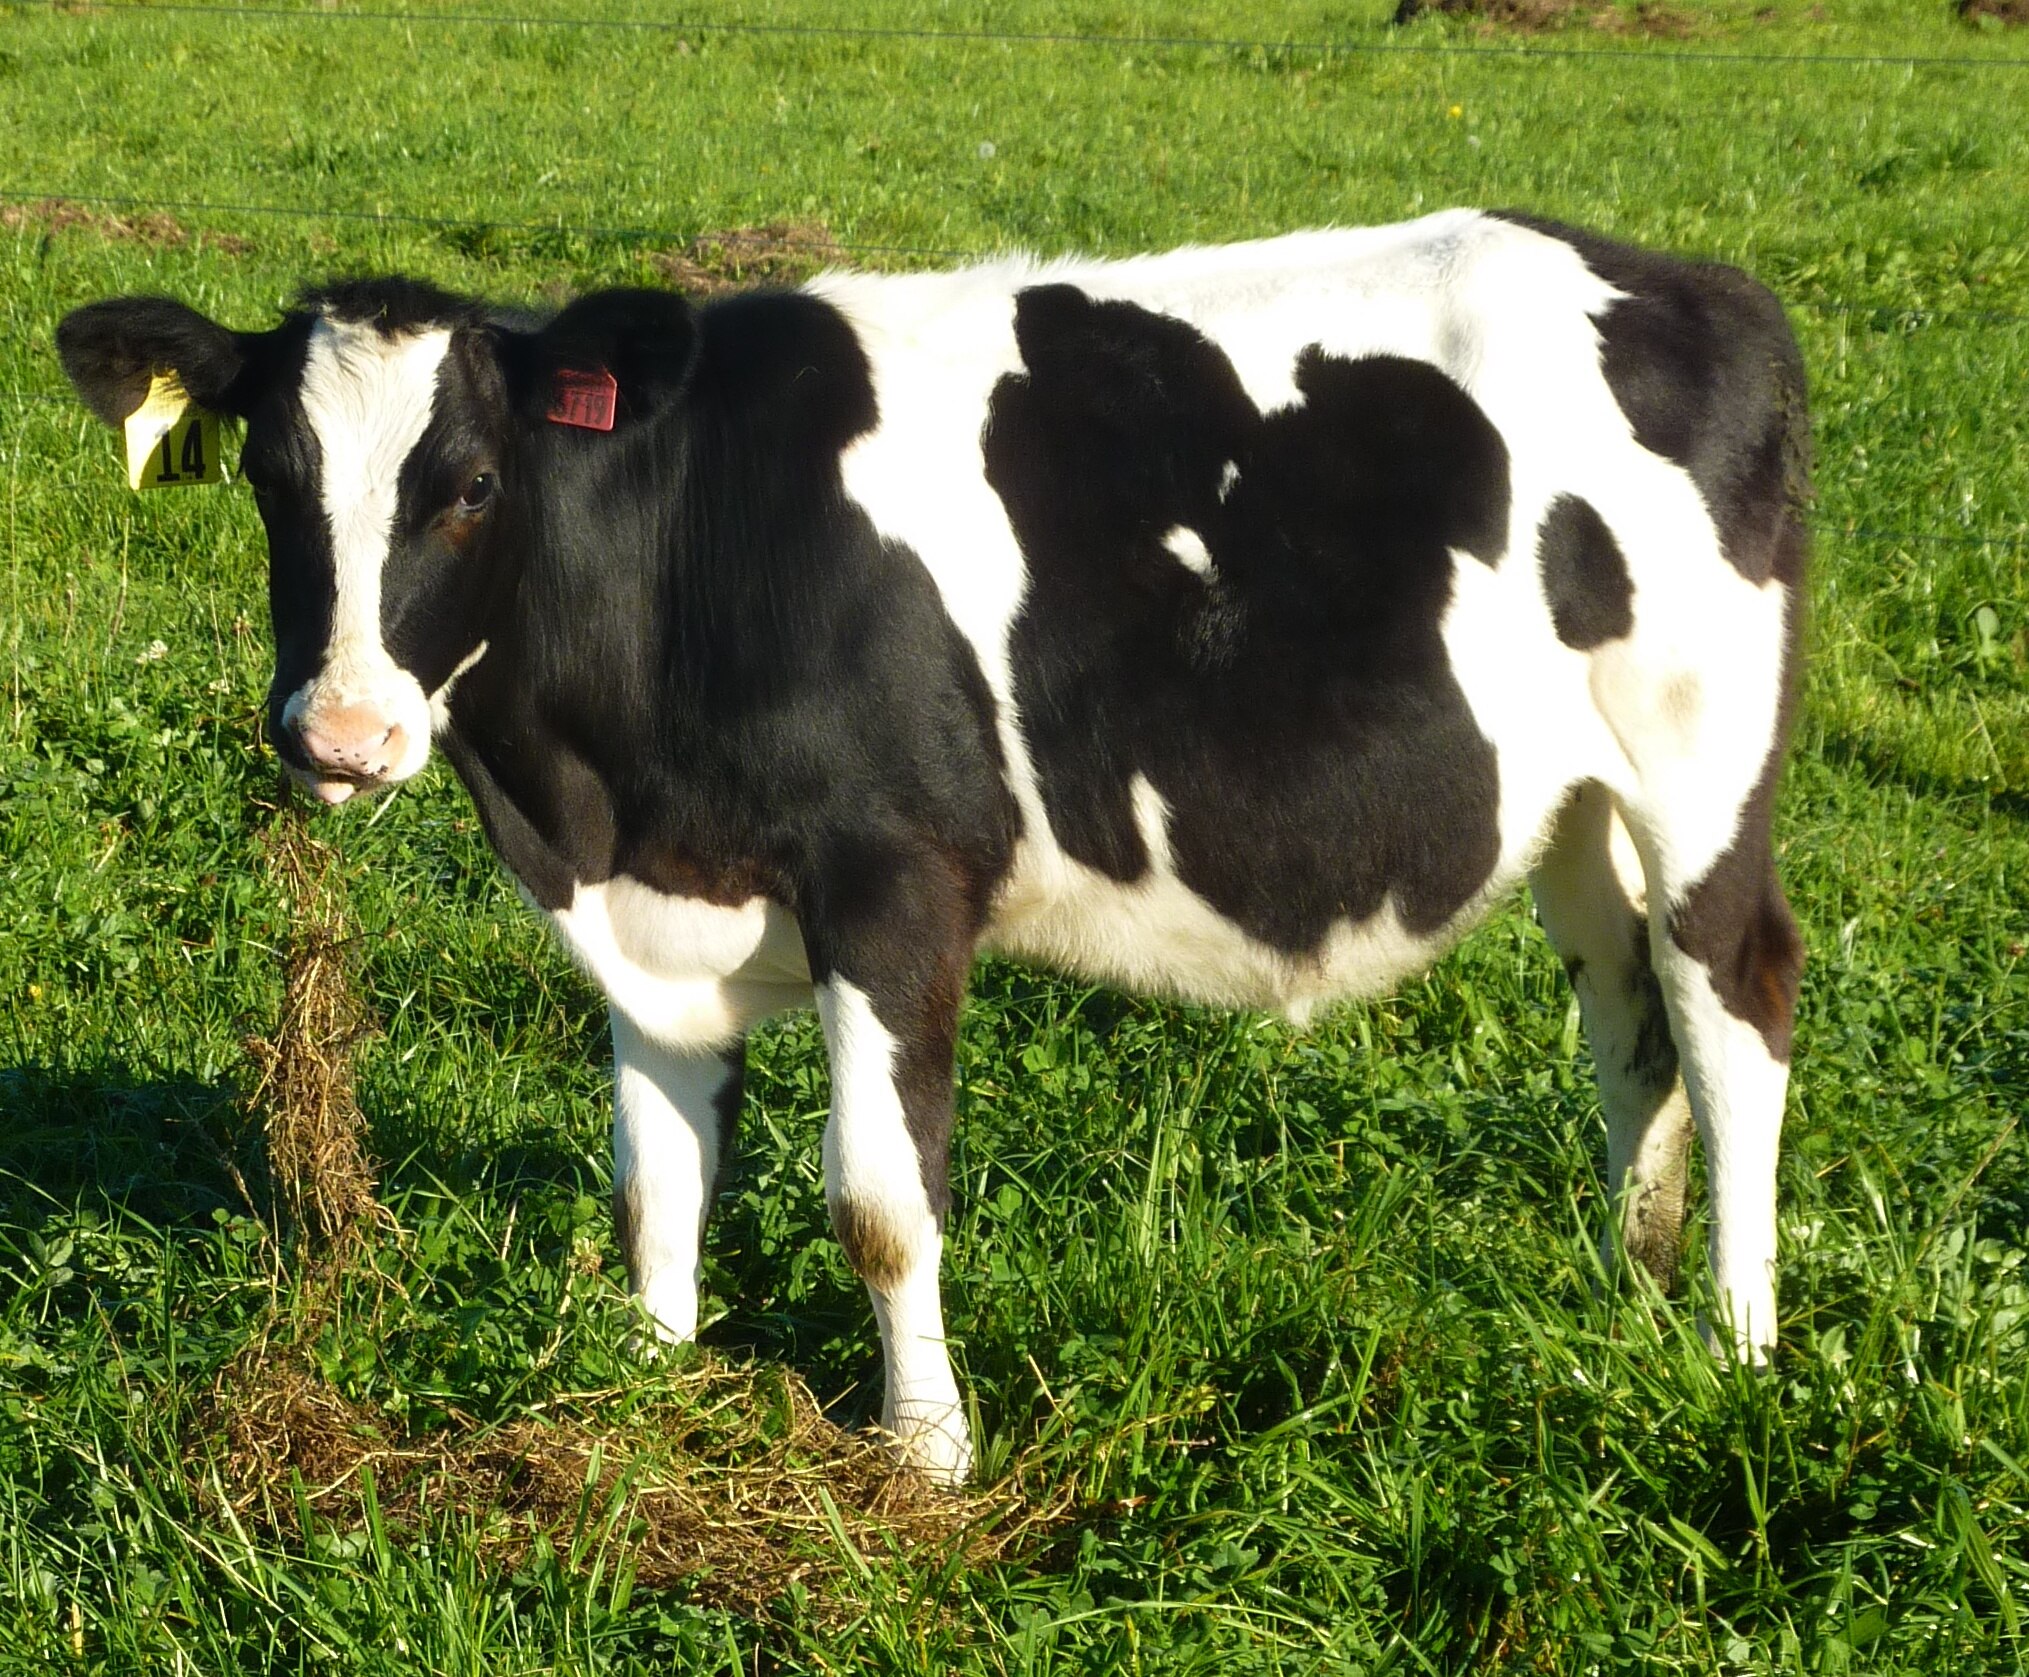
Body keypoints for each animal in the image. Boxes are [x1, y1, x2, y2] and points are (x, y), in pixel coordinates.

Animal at [57, 209, 1809, 1485]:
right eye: (271, 481)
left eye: (473, 484)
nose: (338, 733)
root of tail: (1688, 282)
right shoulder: (650, 907)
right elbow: (654, 1185)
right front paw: (644, 1390)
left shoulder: (891, 883)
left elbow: (883, 1203)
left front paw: (925, 1453)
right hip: (1572, 804)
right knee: (1628, 1028)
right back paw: (1629, 1282)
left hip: (1700, 767)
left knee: (1735, 1008)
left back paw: (1732, 1341)